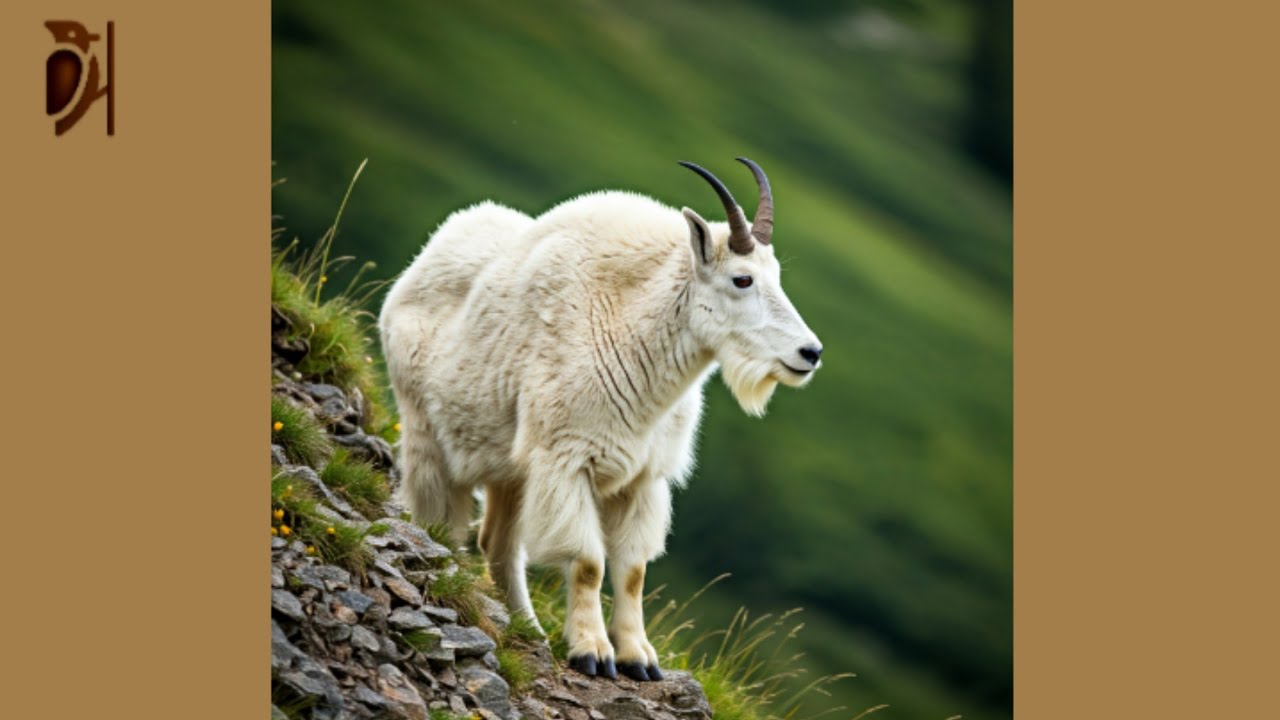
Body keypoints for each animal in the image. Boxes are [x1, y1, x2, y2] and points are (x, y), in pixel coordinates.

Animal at [379, 159, 822, 682]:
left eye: (776, 275)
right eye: (742, 280)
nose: (810, 353)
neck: (633, 331)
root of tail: (422, 260)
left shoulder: (643, 479)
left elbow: (632, 573)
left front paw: (639, 659)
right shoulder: (568, 462)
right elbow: (589, 563)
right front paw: (592, 653)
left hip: (512, 470)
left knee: (498, 544)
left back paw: (529, 629)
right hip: (426, 432)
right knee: (438, 524)